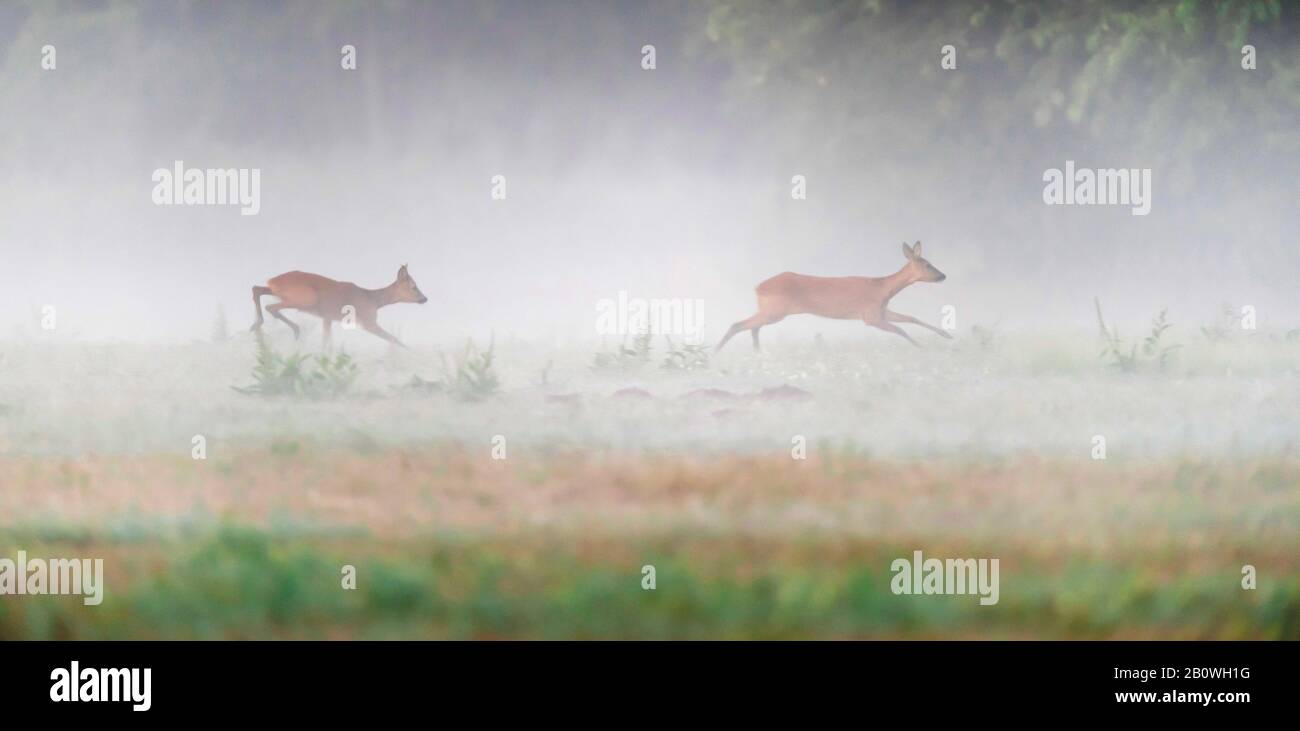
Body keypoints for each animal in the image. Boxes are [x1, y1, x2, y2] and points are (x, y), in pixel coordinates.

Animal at [250, 265, 428, 348]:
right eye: (414, 286)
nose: (424, 298)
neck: (372, 300)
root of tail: (273, 280)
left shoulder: (327, 317)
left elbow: (327, 341)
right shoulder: (367, 322)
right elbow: (394, 339)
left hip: (281, 293)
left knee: (257, 289)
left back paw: (256, 327)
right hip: (307, 298)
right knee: (271, 307)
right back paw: (294, 330)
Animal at [716, 241, 950, 352]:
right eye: (927, 265)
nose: (943, 275)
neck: (883, 289)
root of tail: (758, 287)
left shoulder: (881, 310)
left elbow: (912, 318)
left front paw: (946, 335)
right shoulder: (870, 315)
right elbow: (901, 330)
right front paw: (921, 347)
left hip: (770, 310)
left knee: (752, 327)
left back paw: (757, 353)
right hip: (775, 310)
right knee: (739, 324)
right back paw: (716, 353)